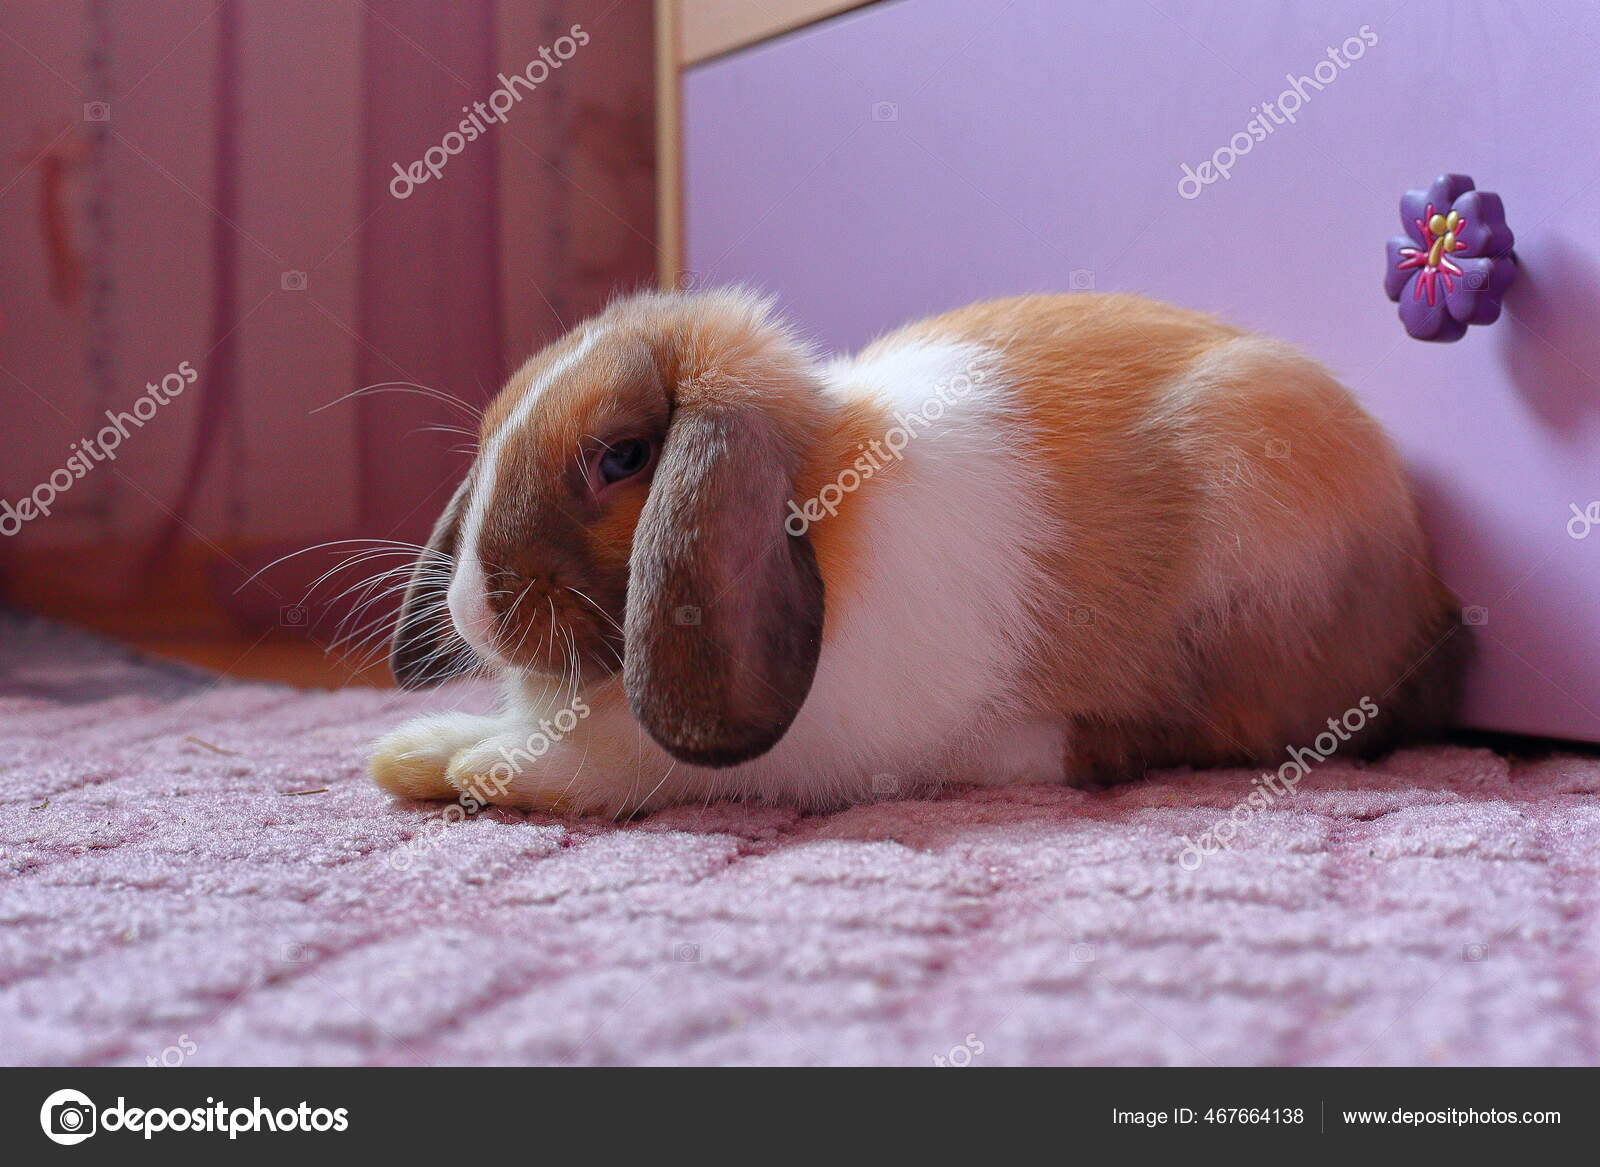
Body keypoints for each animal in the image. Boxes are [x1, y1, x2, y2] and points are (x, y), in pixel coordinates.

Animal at [368, 287, 1466, 817]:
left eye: (621, 457)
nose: (469, 610)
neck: (817, 507)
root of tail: (1428, 608)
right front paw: (411, 750)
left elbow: (599, 766)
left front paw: (468, 766)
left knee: (1160, 742)